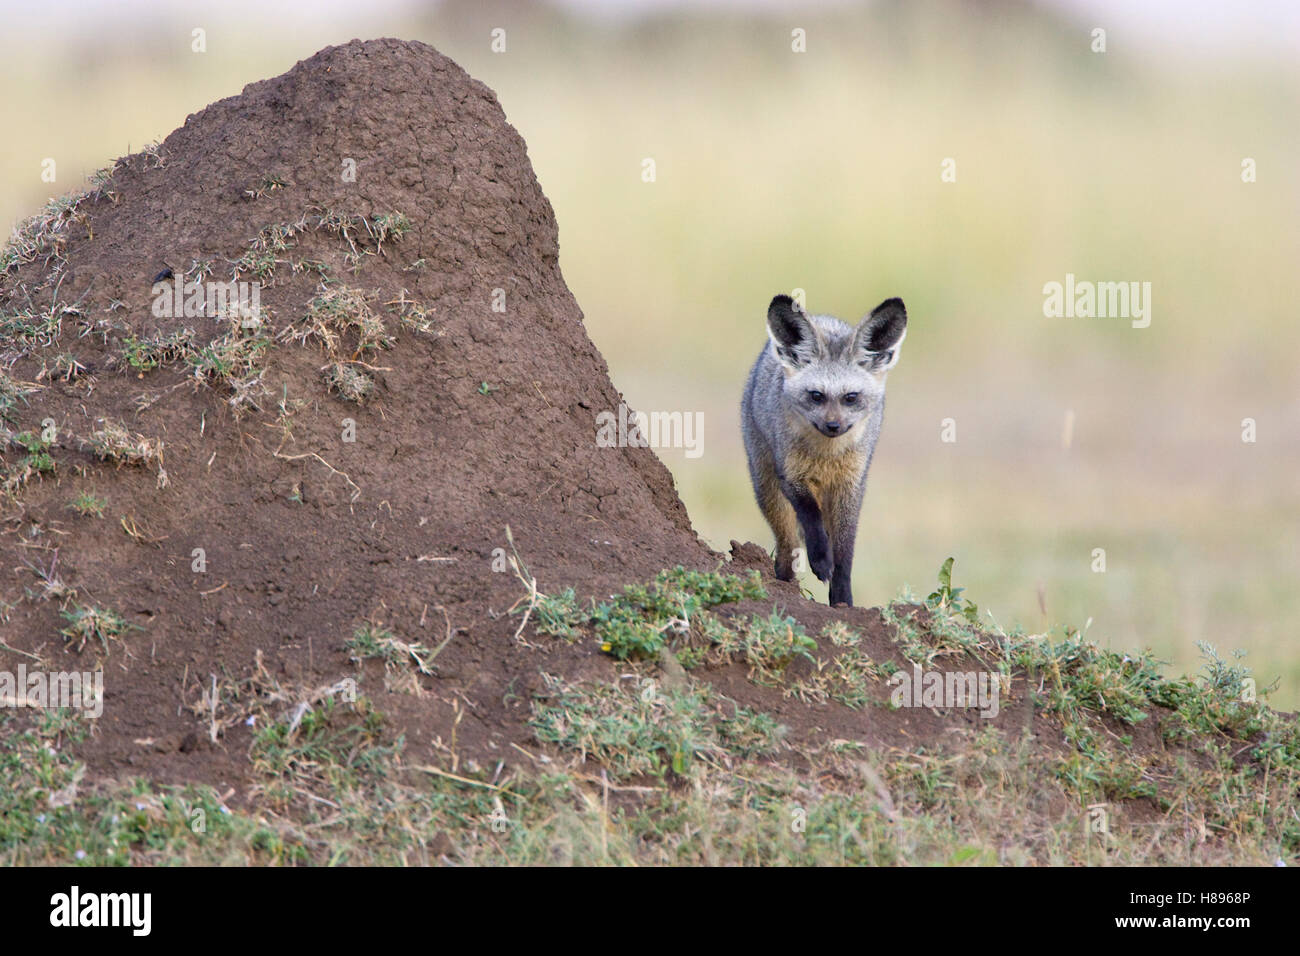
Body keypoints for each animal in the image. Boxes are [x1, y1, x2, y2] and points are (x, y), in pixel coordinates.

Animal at [741, 293, 907, 607]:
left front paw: (842, 599)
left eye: (850, 397)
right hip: (767, 491)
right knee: (787, 546)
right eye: (816, 396)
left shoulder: (851, 484)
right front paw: (820, 560)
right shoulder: (791, 475)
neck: (826, 456)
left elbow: (845, 550)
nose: (833, 425)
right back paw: (785, 584)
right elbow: (811, 519)